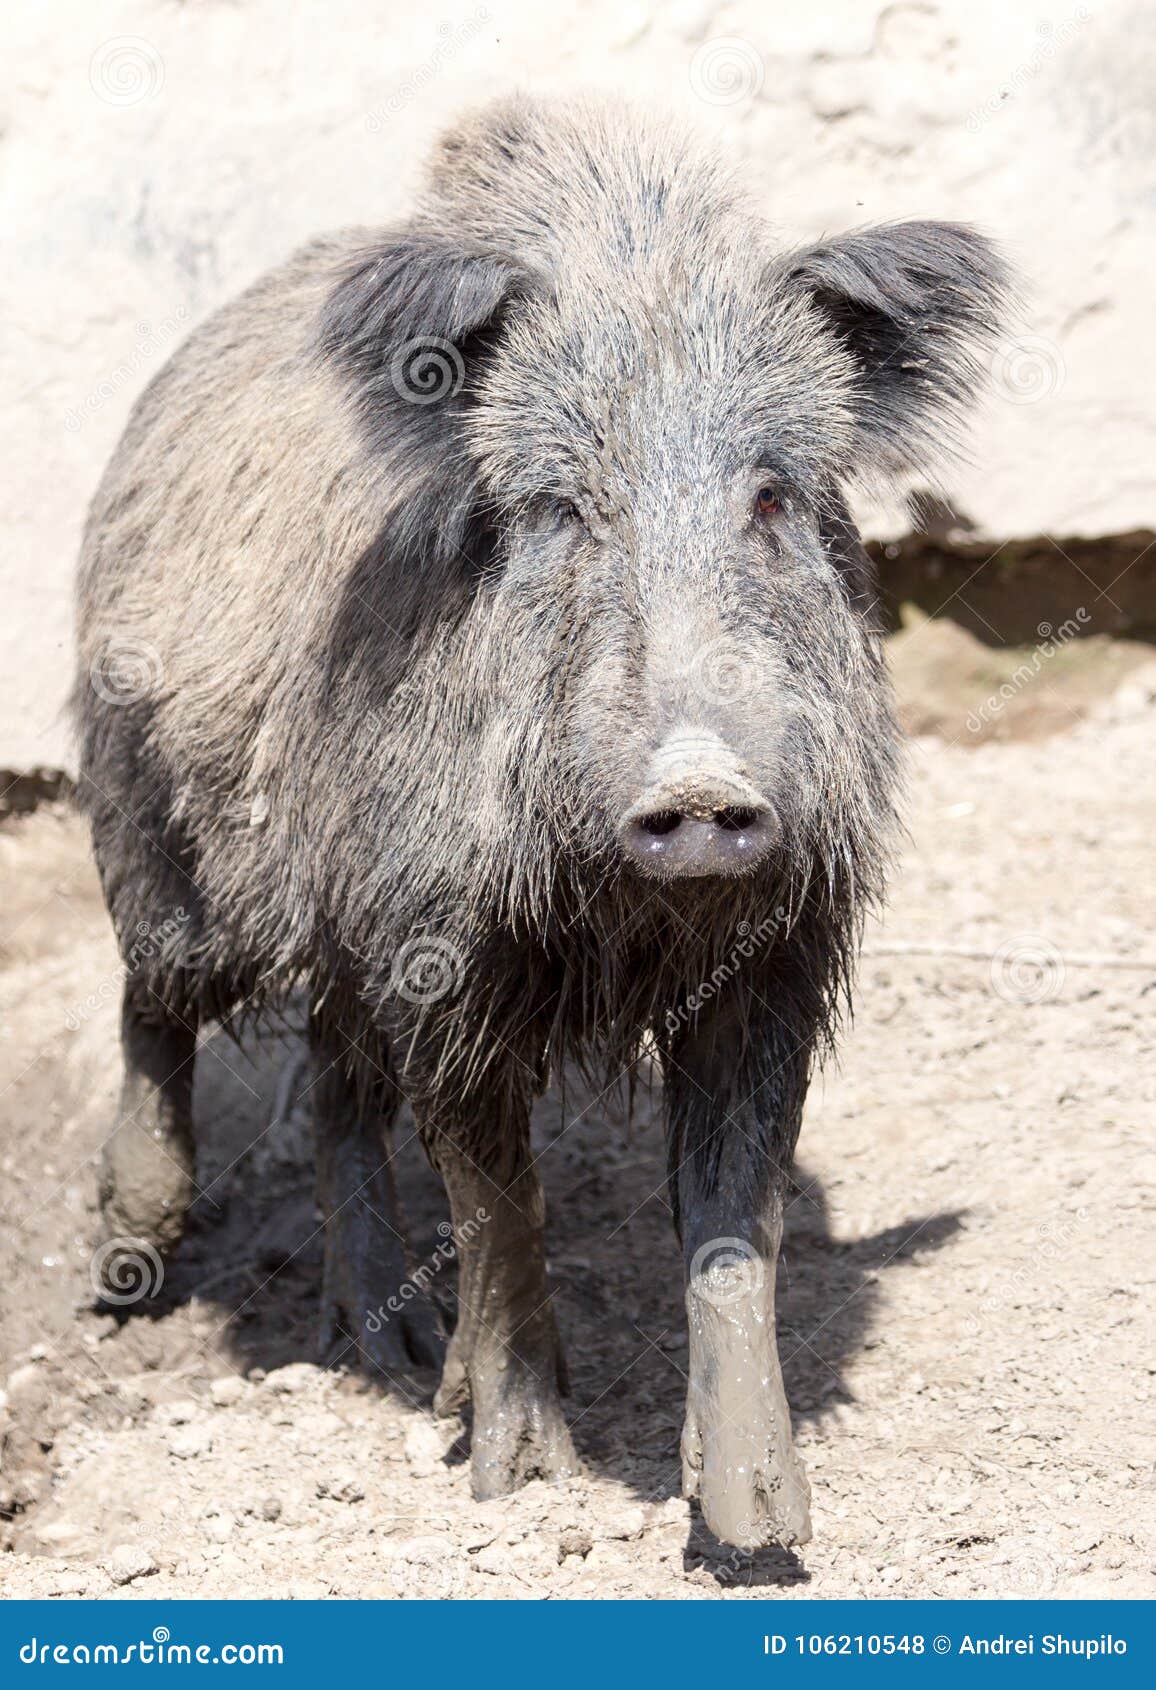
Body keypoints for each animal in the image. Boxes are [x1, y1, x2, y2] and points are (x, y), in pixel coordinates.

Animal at [73, 93, 1008, 1548]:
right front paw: (521, 1477)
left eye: (772, 496)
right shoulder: (440, 949)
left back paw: (388, 1350)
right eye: (561, 506)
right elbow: (501, 1200)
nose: (697, 785)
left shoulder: (778, 952)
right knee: (155, 1001)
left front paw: (759, 1523)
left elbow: (735, 1217)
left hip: (343, 933)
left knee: (337, 1083)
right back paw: (129, 1269)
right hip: (160, 825)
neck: (624, 920)